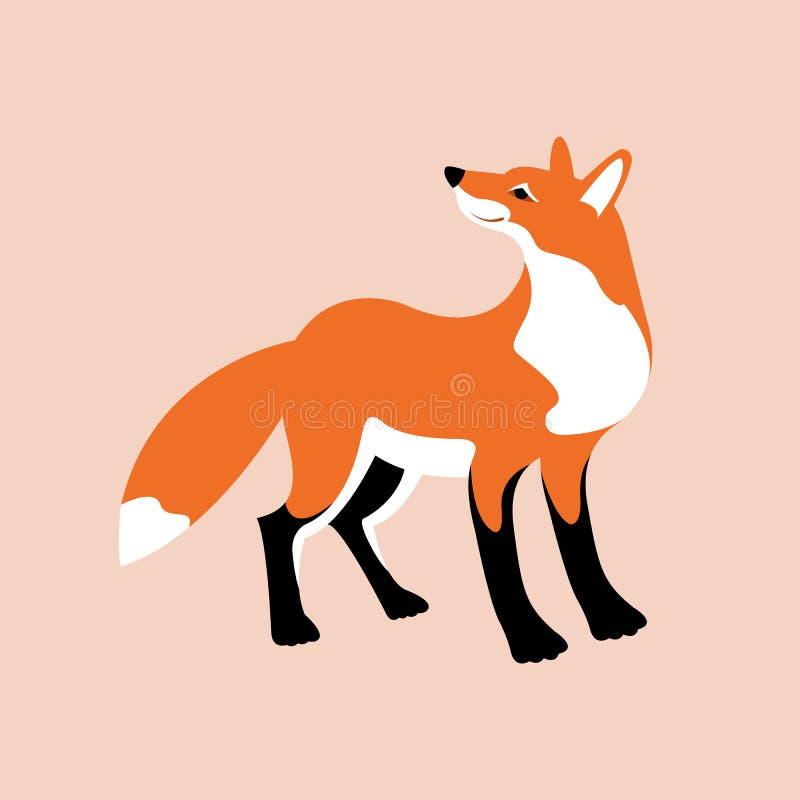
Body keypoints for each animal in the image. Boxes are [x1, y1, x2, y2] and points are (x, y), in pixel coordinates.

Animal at [120, 138, 651, 663]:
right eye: (506, 177)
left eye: (521, 190)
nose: (453, 172)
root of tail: (302, 339)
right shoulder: (491, 468)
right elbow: (503, 562)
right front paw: (531, 641)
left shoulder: (568, 459)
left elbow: (580, 547)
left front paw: (611, 620)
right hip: (331, 466)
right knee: (277, 524)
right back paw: (291, 628)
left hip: (386, 465)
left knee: (348, 521)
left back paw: (395, 601)